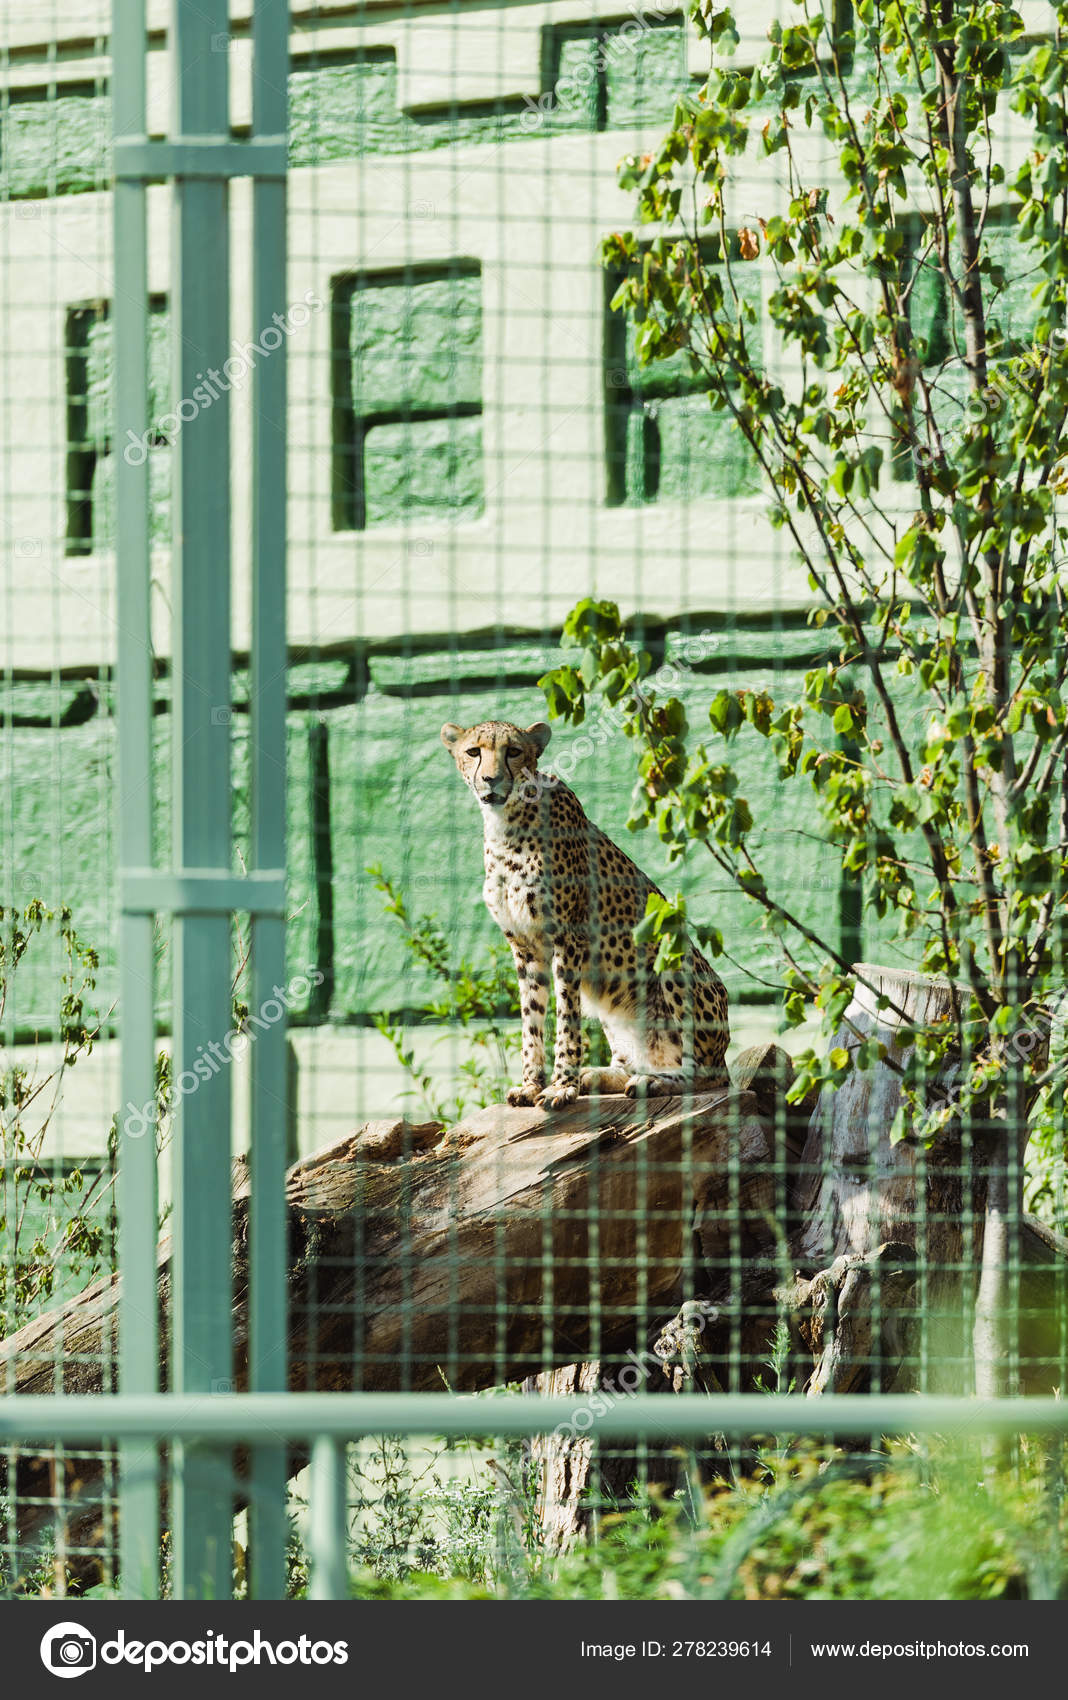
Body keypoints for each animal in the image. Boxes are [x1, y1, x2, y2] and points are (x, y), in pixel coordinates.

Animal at [440, 717, 730, 1109]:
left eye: (513, 752)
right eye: (473, 752)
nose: (490, 779)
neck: (506, 824)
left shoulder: (569, 939)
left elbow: (566, 1018)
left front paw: (561, 1086)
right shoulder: (525, 947)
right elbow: (531, 1020)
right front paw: (531, 1084)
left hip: (675, 959)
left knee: (706, 1074)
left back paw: (656, 1081)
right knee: (633, 1060)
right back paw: (602, 1076)